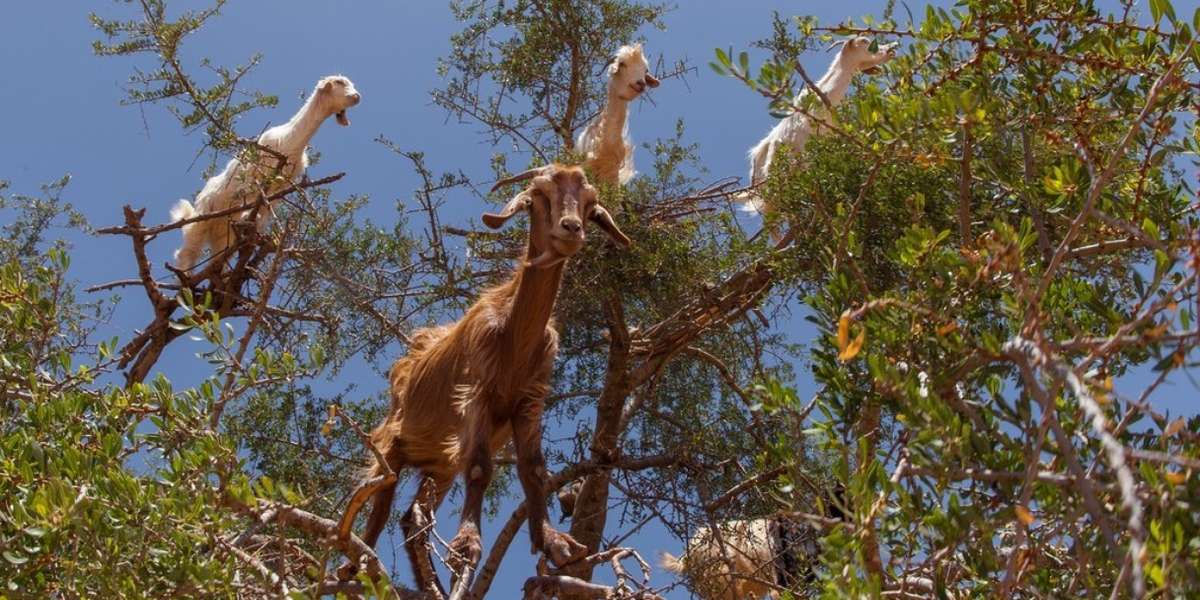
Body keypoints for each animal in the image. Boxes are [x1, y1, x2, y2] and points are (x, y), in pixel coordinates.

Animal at [170, 75, 361, 273]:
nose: (357, 97)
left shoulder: (281, 187)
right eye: (339, 83)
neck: (290, 140)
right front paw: (248, 216)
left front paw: (258, 227)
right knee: (187, 252)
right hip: (203, 217)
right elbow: (250, 194)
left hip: (222, 236)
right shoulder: (255, 174)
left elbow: (266, 208)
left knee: (217, 261)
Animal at [339, 164, 632, 595]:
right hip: (391, 442)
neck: (513, 336)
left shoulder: (529, 401)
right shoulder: (476, 392)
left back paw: (428, 583)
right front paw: (467, 545)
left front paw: (554, 542)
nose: (571, 228)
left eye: (590, 202)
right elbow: (479, 469)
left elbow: (534, 468)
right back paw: (356, 566)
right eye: (539, 194)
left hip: (439, 463)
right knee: (378, 503)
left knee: (413, 516)